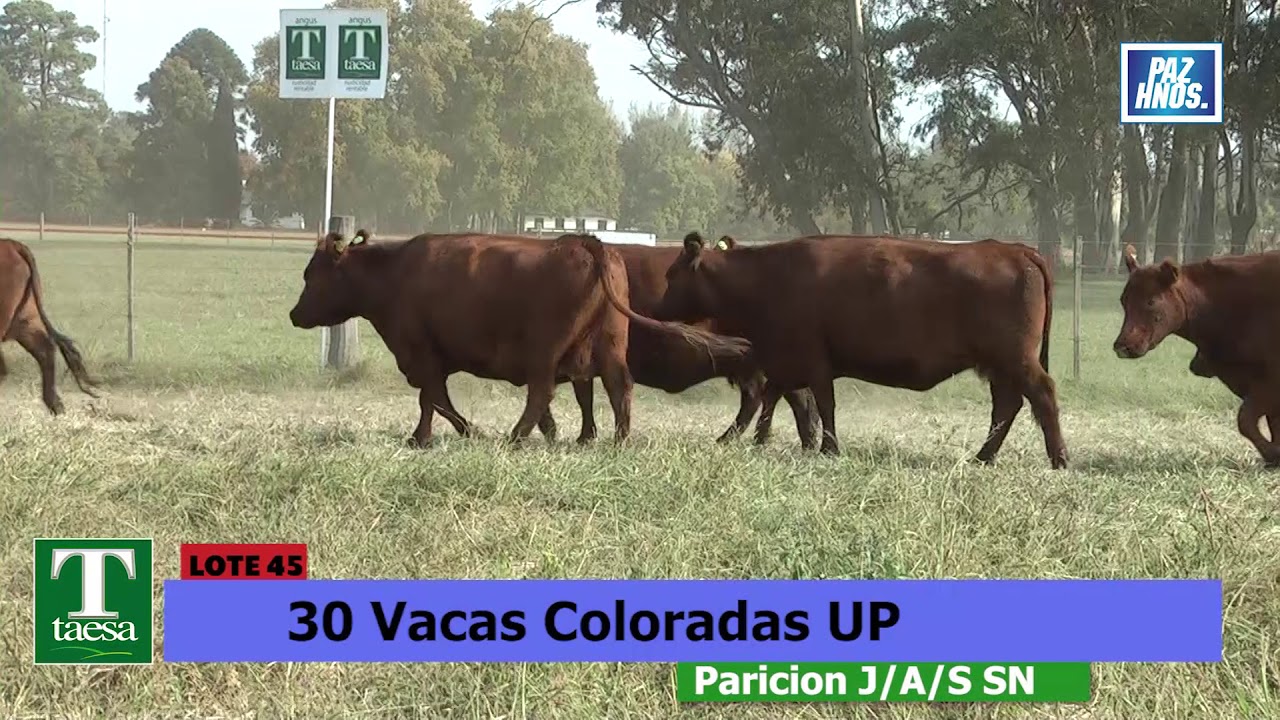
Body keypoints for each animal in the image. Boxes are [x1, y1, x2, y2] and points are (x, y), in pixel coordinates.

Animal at [287, 230, 753, 446]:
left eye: (311, 274)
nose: (293, 314)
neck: (394, 273)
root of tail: (588, 243)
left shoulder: (421, 353)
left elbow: (434, 399)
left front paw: (445, 434)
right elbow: (432, 400)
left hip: (544, 350)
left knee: (540, 390)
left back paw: (516, 435)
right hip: (608, 344)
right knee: (619, 387)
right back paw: (617, 439)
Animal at [651, 232, 1068, 468]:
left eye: (672, 274)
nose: (655, 310)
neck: (767, 276)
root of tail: (1015, 251)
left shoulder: (812, 359)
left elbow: (820, 403)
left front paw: (827, 448)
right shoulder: (788, 361)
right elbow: (780, 396)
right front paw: (768, 439)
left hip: (1016, 359)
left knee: (1041, 395)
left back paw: (1059, 458)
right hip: (1000, 366)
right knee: (1007, 406)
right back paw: (984, 457)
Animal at [1114, 243, 1280, 465]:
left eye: (1151, 301)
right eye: (1124, 300)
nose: (1122, 345)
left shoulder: (1269, 384)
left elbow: (1245, 420)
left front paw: (1273, 453)